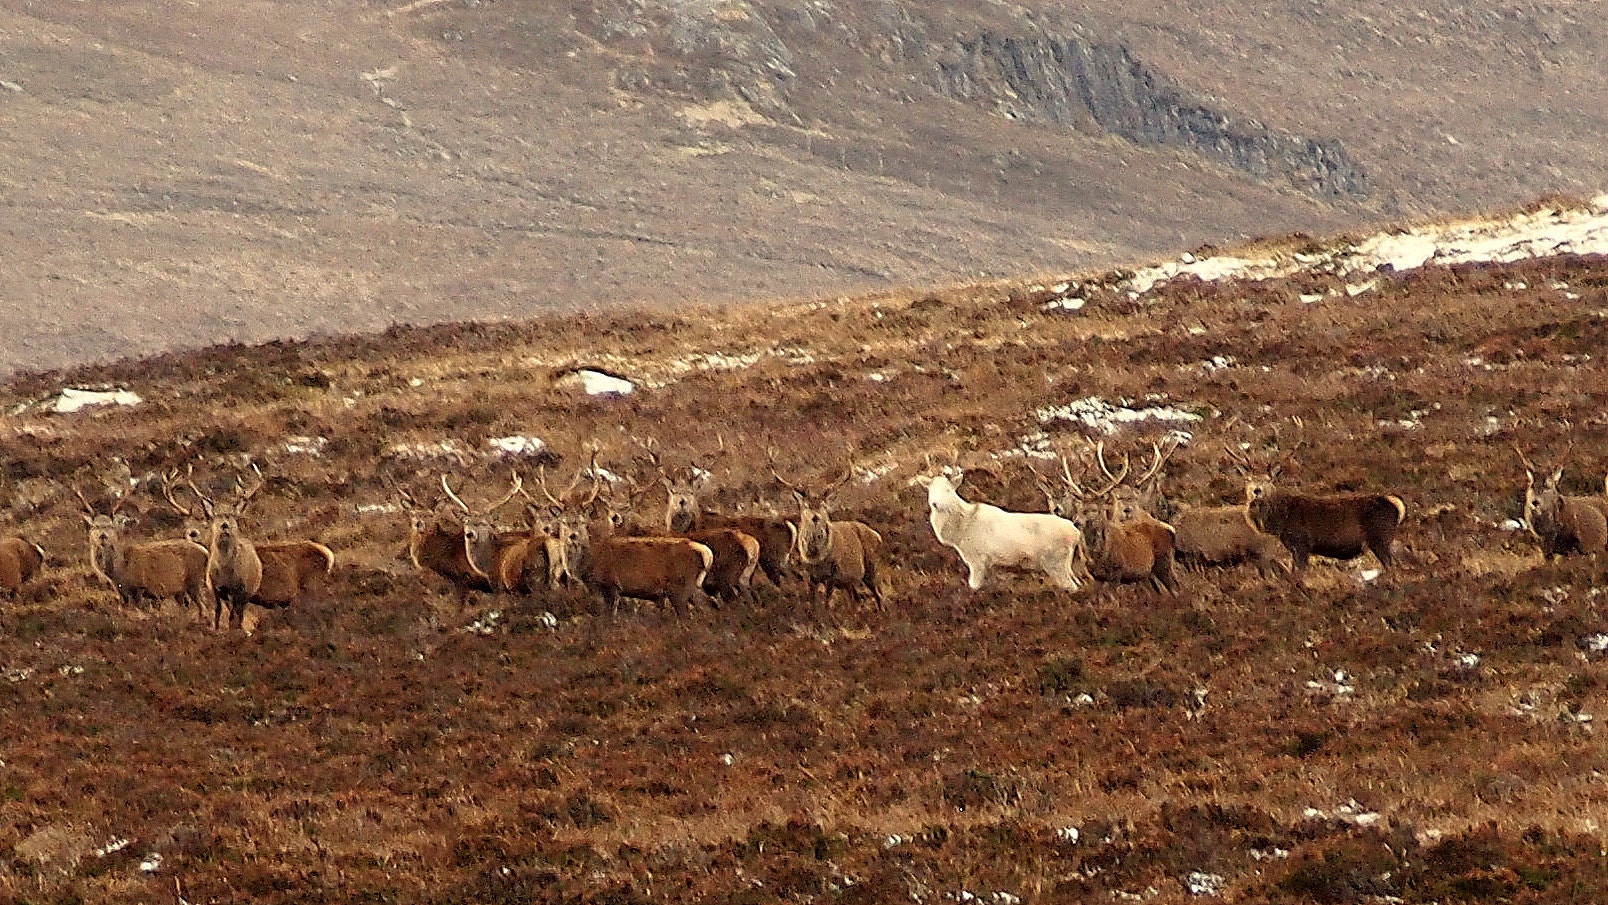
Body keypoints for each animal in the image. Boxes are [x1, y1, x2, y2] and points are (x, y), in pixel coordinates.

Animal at [75, 484, 210, 614]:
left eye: (111, 526)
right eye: (94, 526)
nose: (103, 536)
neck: (119, 572)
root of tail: (206, 552)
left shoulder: (140, 589)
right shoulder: (122, 595)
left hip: (194, 580)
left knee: (203, 607)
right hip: (181, 590)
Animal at [771, 458, 885, 614]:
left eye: (823, 505)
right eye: (806, 505)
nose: (815, 517)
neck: (816, 557)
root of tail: (877, 536)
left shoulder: (833, 574)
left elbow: (826, 600)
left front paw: (826, 614)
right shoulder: (810, 575)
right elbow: (812, 599)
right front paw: (813, 614)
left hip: (872, 567)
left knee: (879, 595)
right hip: (849, 582)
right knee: (856, 600)